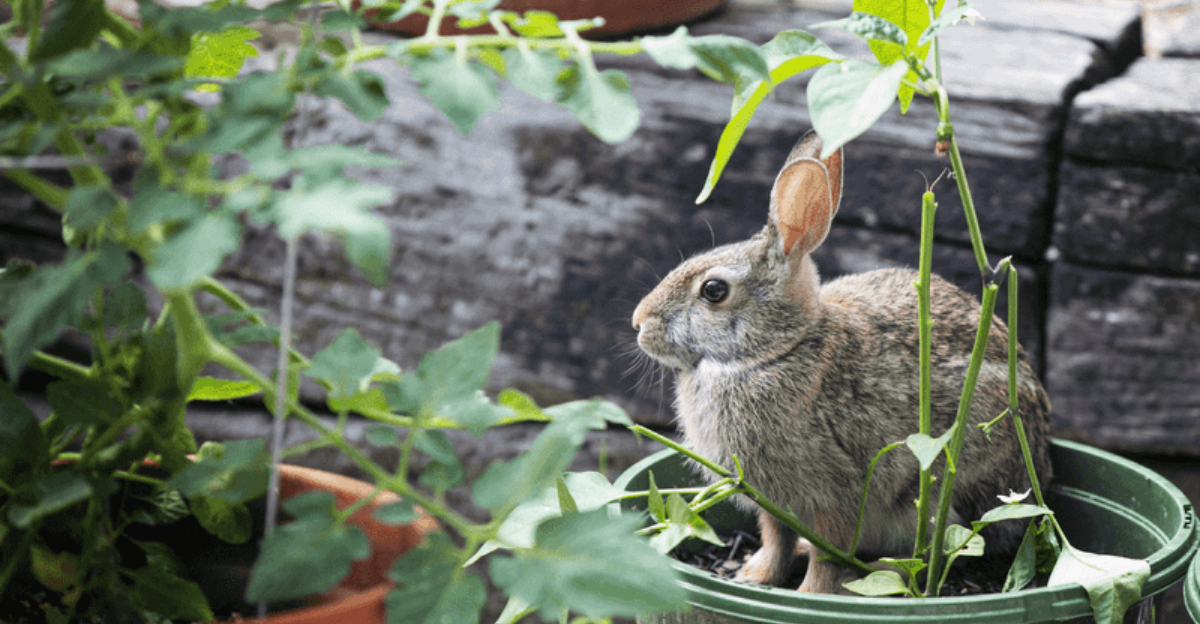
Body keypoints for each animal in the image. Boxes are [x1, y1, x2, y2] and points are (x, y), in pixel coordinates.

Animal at [631, 130, 1052, 594]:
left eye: (713, 291)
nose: (638, 323)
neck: (777, 350)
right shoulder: (772, 500)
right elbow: (775, 538)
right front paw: (755, 577)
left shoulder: (837, 491)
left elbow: (828, 552)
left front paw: (809, 594)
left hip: (950, 485)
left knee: (943, 549)